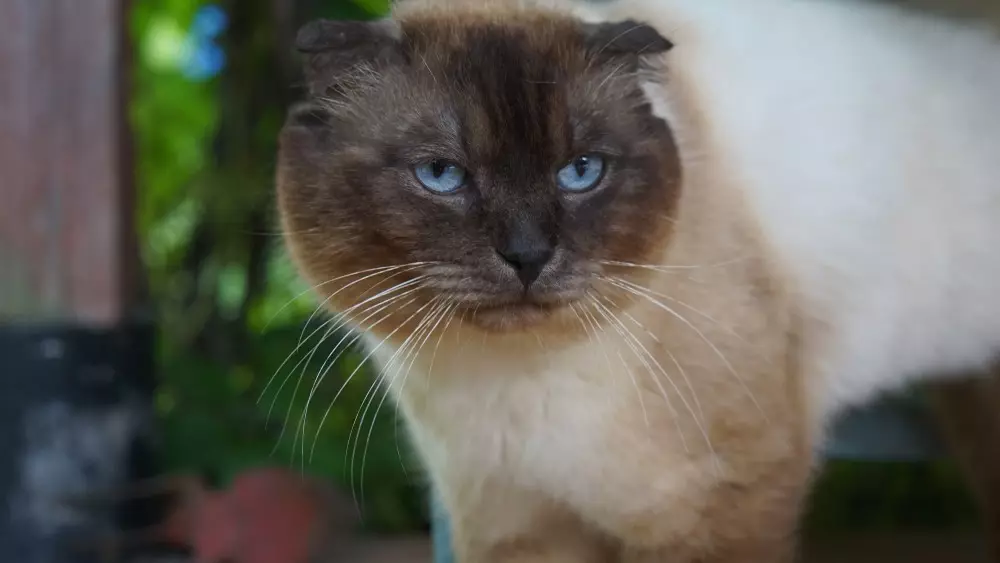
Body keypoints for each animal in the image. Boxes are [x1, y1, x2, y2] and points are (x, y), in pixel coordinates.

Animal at [272, 0, 1000, 560]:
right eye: (442, 175)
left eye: (581, 171)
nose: (528, 255)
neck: (515, 382)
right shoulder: (517, 523)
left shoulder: (714, 509)